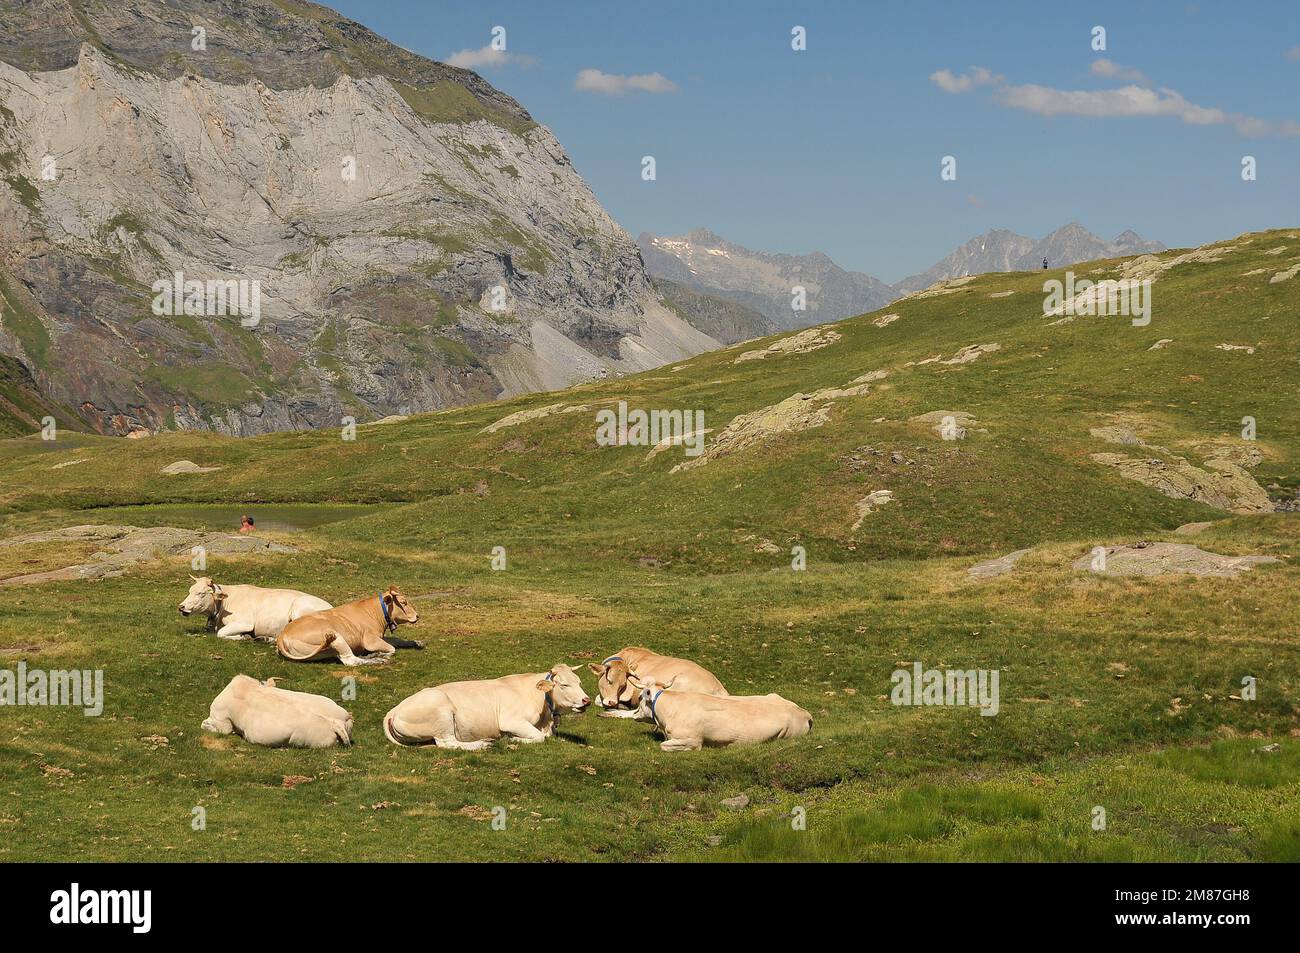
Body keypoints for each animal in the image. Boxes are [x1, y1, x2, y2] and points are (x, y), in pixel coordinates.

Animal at [178, 576, 331, 642]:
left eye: (201, 593)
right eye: (190, 591)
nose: (181, 606)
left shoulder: (245, 623)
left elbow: (221, 633)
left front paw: (242, 636)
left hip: (299, 607)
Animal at [276, 587, 422, 665]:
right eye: (404, 602)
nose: (417, 615)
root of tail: (283, 635)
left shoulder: (380, 636)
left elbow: (396, 640)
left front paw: (416, 642)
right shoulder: (370, 640)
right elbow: (392, 648)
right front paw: (381, 653)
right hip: (335, 637)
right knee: (351, 661)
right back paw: (377, 659)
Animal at [383, 663, 590, 750]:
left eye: (579, 682)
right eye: (564, 685)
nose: (586, 700)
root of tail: (394, 710)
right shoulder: (511, 721)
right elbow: (539, 737)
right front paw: (512, 739)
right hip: (441, 714)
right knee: (448, 743)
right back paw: (483, 744)